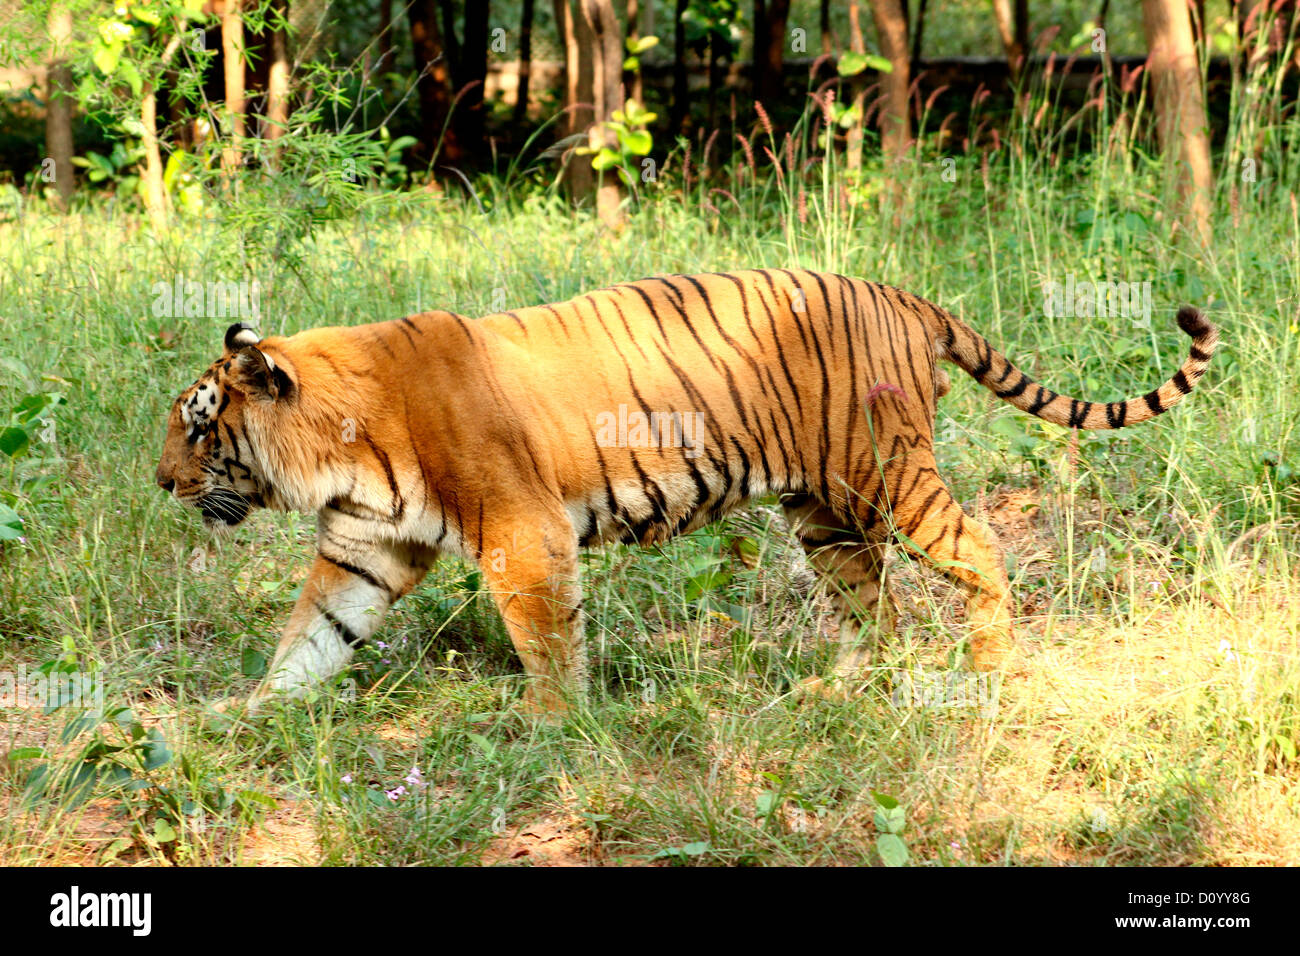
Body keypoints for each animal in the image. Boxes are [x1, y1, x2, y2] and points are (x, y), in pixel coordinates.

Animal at [154, 269, 1218, 715]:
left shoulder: (524, 533)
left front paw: (554, 728)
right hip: (824, 516)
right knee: (875, 607)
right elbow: (308, 644)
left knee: (978, 549)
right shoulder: (362, 552)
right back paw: (843, 687)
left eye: (199, 426)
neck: (337, 446)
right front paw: (234, 717)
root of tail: (904, 296)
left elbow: (547, 642)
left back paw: (990, 671)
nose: (161, 482)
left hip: (887, 475)